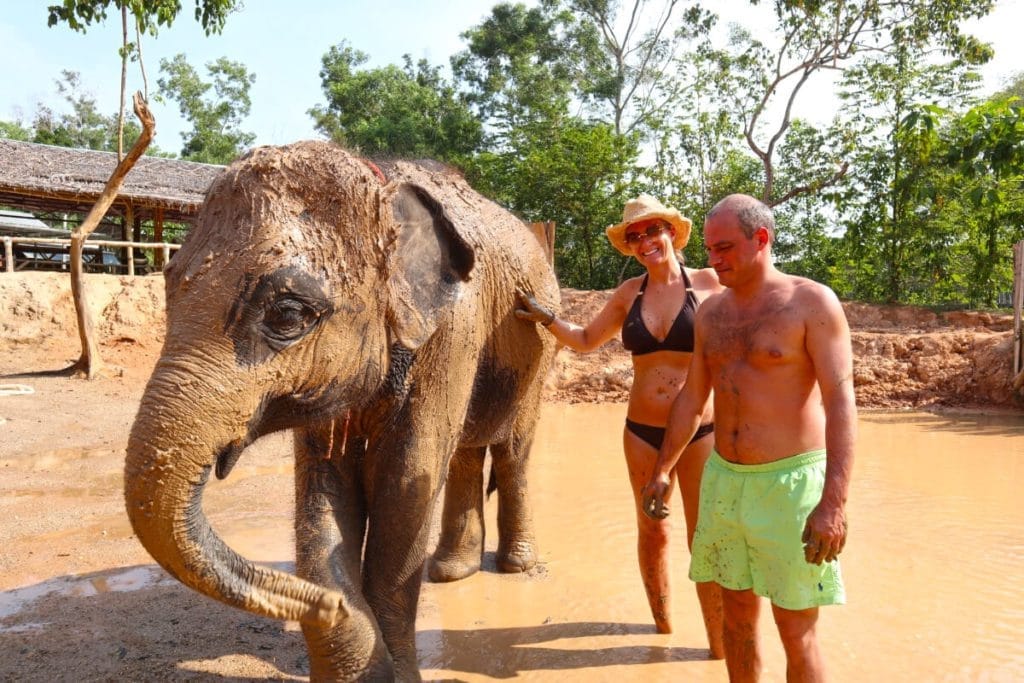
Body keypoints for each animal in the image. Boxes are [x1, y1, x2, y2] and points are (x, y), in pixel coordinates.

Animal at [124, 141, 559, 681]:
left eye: (288, 315)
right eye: (168, 286)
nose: (325, 604)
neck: (383, 191)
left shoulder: (452, 330)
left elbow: (406, 480)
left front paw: (394, 669)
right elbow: (324, 487)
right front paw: (357, 652)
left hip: (538, 344)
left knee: (512, 450)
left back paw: (516, 567)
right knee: (465, 451)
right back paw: (450, 572)